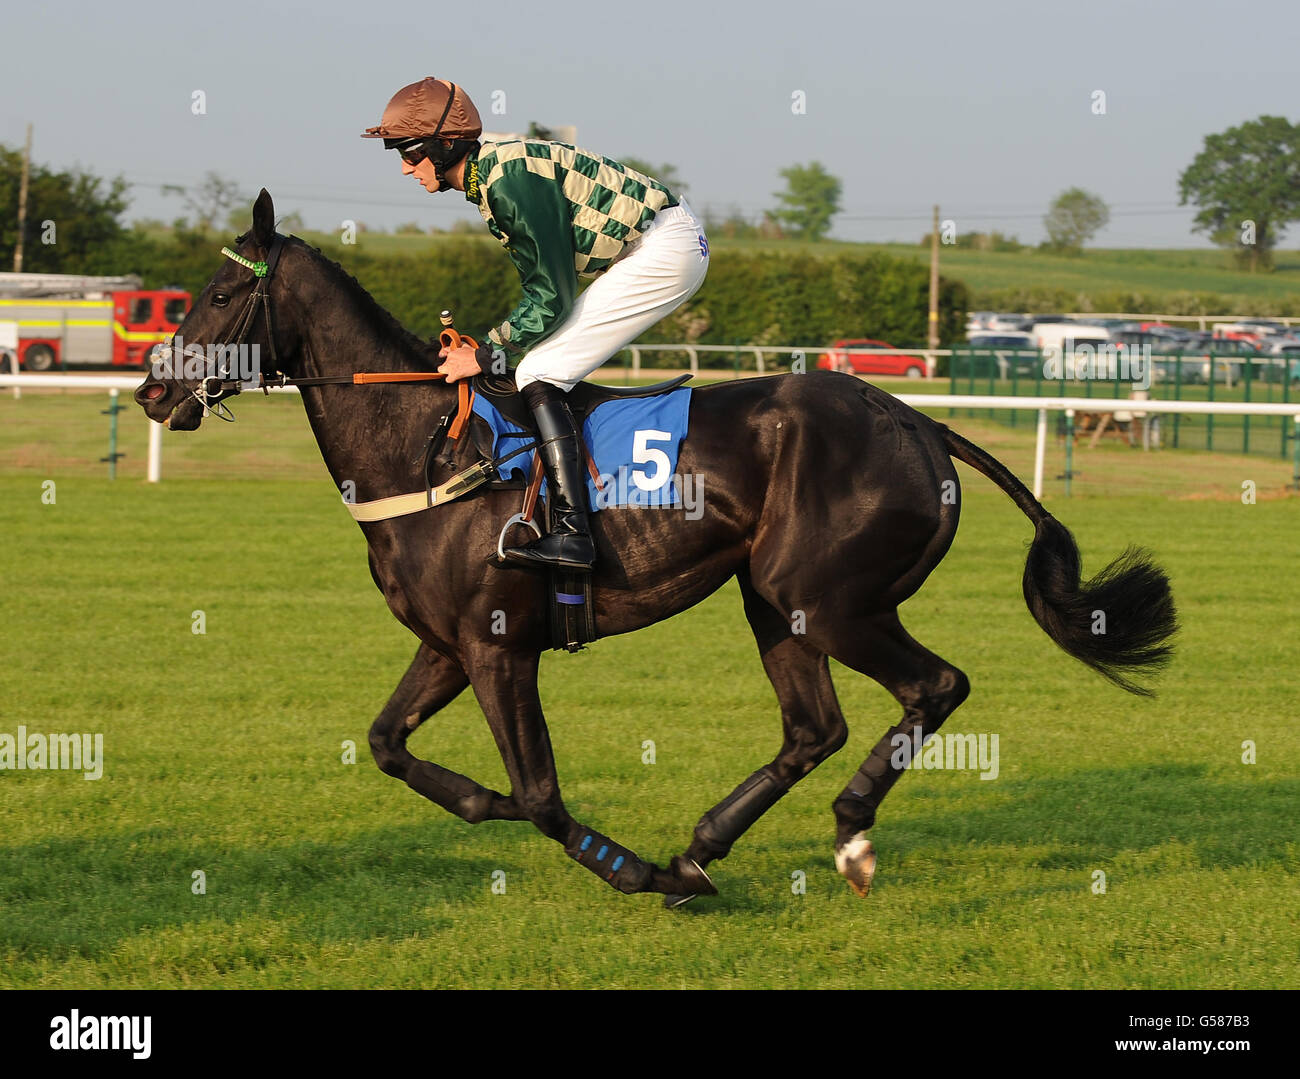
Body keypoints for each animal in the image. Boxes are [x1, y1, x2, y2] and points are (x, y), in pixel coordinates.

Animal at [135, 190, 1177, 906]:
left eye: (220, 293)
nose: (151, 390)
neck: (427, 444)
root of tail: (919, 421)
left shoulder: (498, 646)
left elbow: (541, 793)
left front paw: (618, 862)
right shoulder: (446, 643)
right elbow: (392, 746)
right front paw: (498, 811)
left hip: (830, 596)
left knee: (936, 685)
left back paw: (844, 834)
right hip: (774, 599)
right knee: (813, 728)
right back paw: (700, 851)